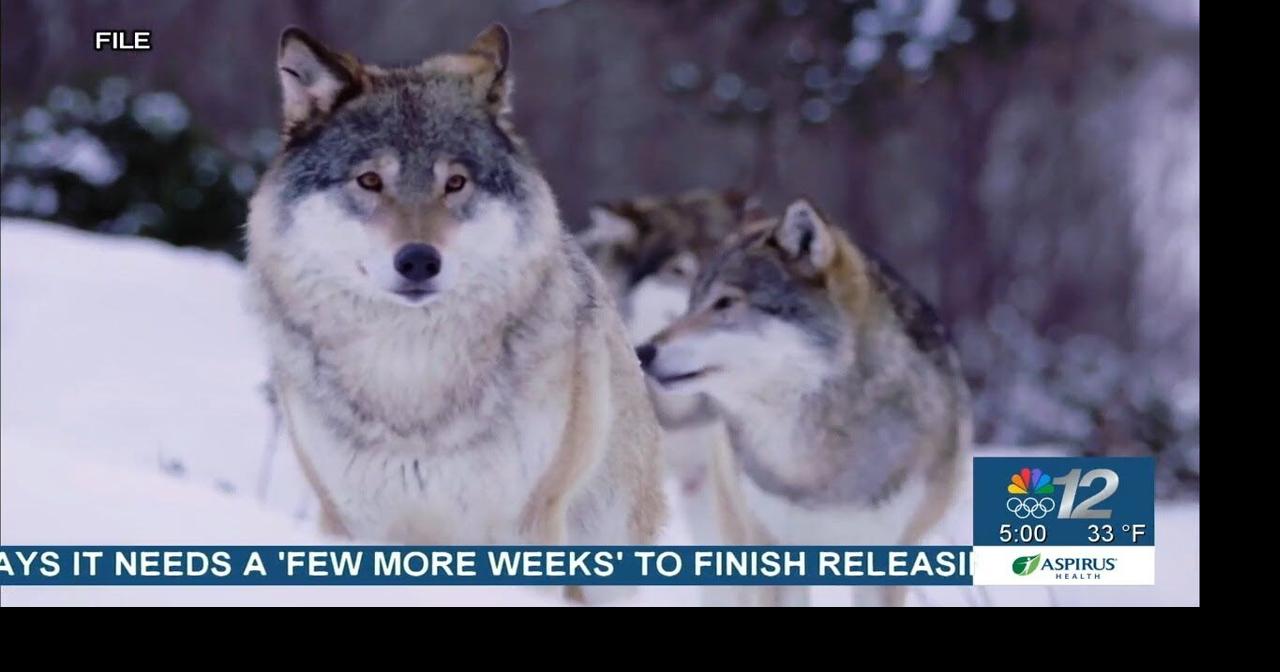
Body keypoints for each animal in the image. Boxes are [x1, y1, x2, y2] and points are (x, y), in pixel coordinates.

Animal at [242, 24, 666, 600]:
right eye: (369, 180)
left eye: (456, 183)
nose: (419, 260)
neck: (410, 376)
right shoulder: (351, 523)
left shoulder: (526, 527)